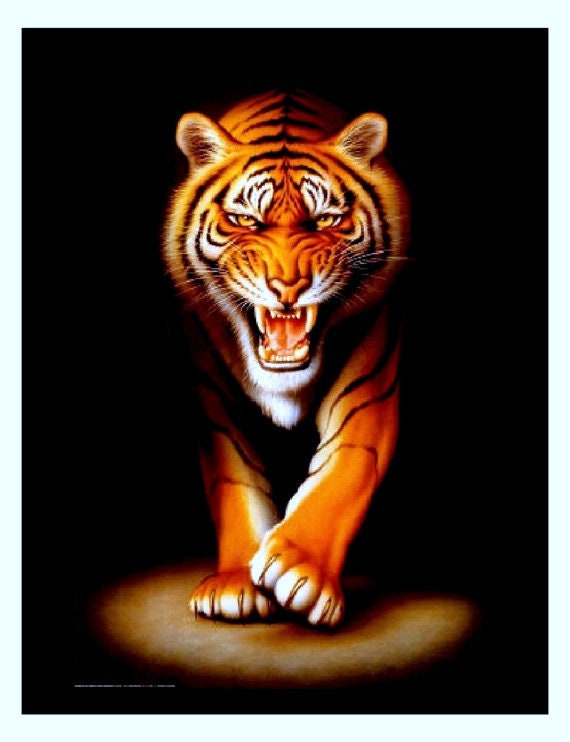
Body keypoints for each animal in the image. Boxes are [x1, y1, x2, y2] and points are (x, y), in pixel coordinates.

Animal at [163, 89, 410, 628]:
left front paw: (301, 571)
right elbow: (235, 486)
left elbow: (343, 473)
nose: (287, 287)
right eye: (244, 220)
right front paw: (234, 584)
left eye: (326, 220)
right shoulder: (214, 404)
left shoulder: (369, 390)